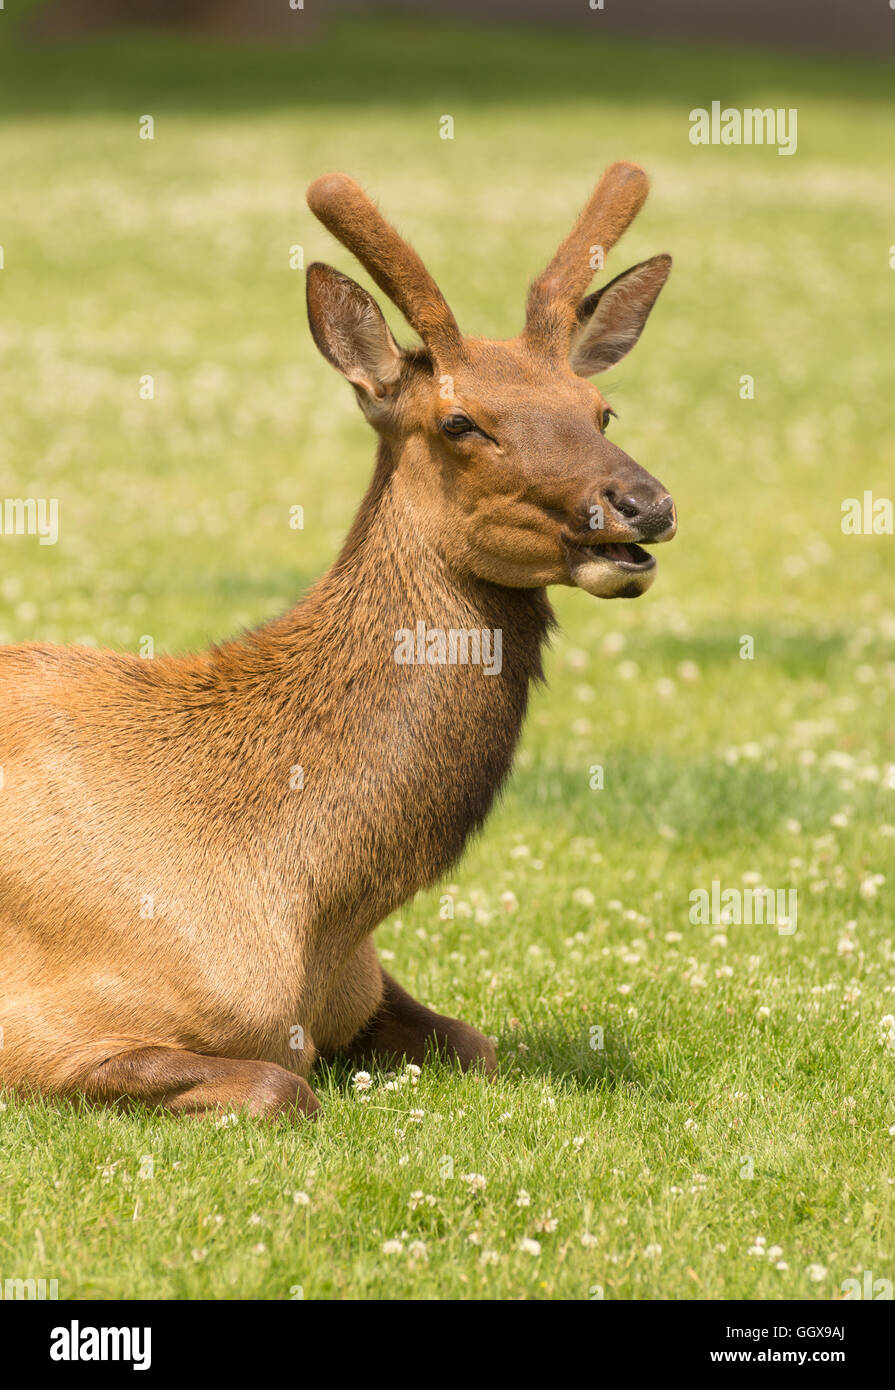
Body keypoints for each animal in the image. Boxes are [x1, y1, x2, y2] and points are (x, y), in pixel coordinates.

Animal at [0, 162, 675, 1120]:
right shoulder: (42, 1033)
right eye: (458, 421)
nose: (643, 505)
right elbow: (283, 1086)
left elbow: (475, 1042)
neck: (314, 907)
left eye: (601, 410)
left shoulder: (365, 986)